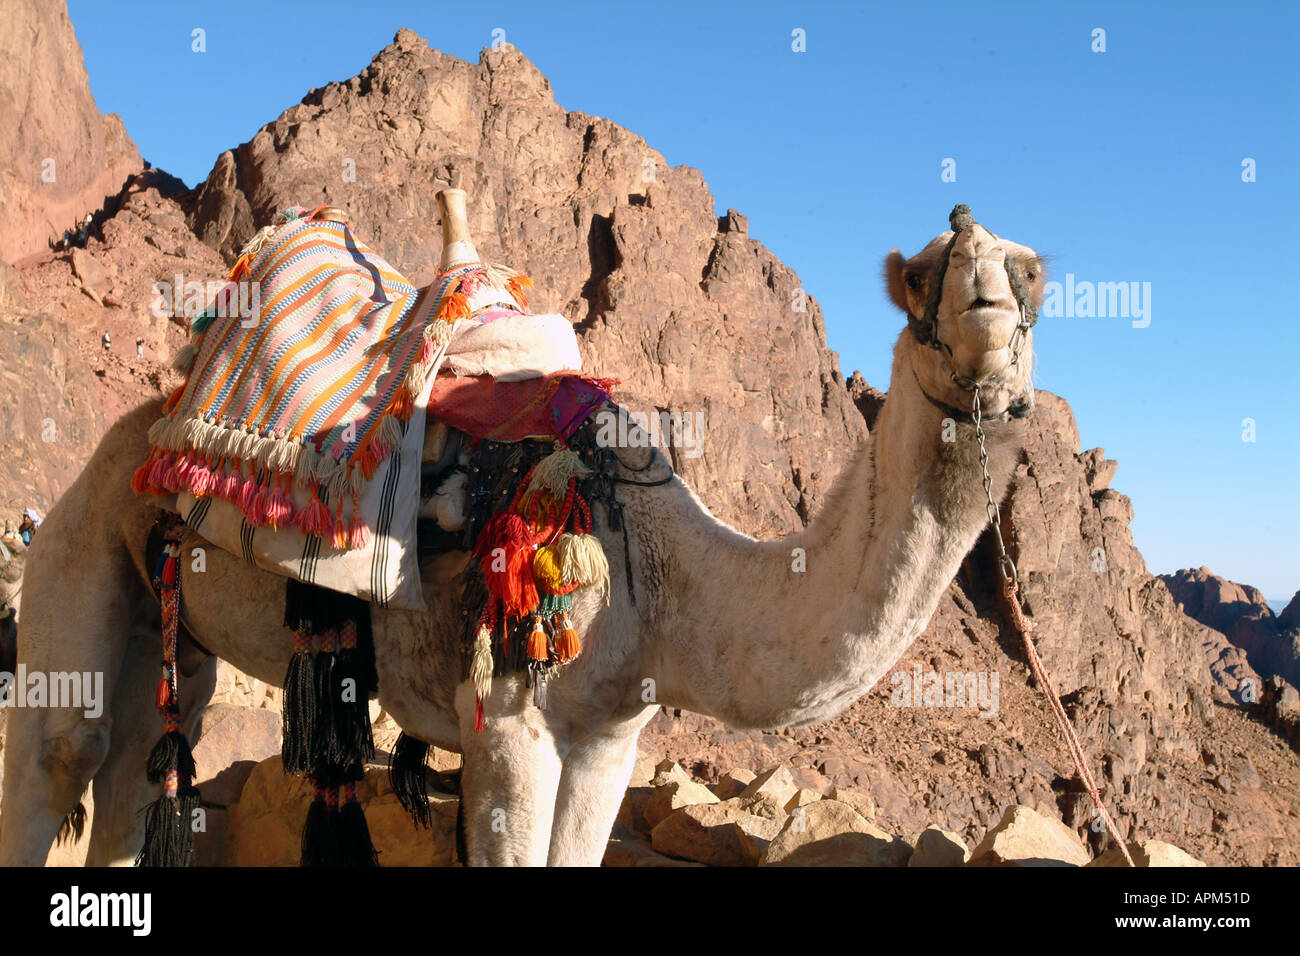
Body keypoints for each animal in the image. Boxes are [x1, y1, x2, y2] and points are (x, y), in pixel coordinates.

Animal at [0, 203, 1043, 867]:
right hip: (78, 534)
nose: (995, 322)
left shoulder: (612, 736)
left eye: (1034, 276)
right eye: (924, 279)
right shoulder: (514, 720)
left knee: (142, 763)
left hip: (170, 612)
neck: (666, 586)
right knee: (63, 752)